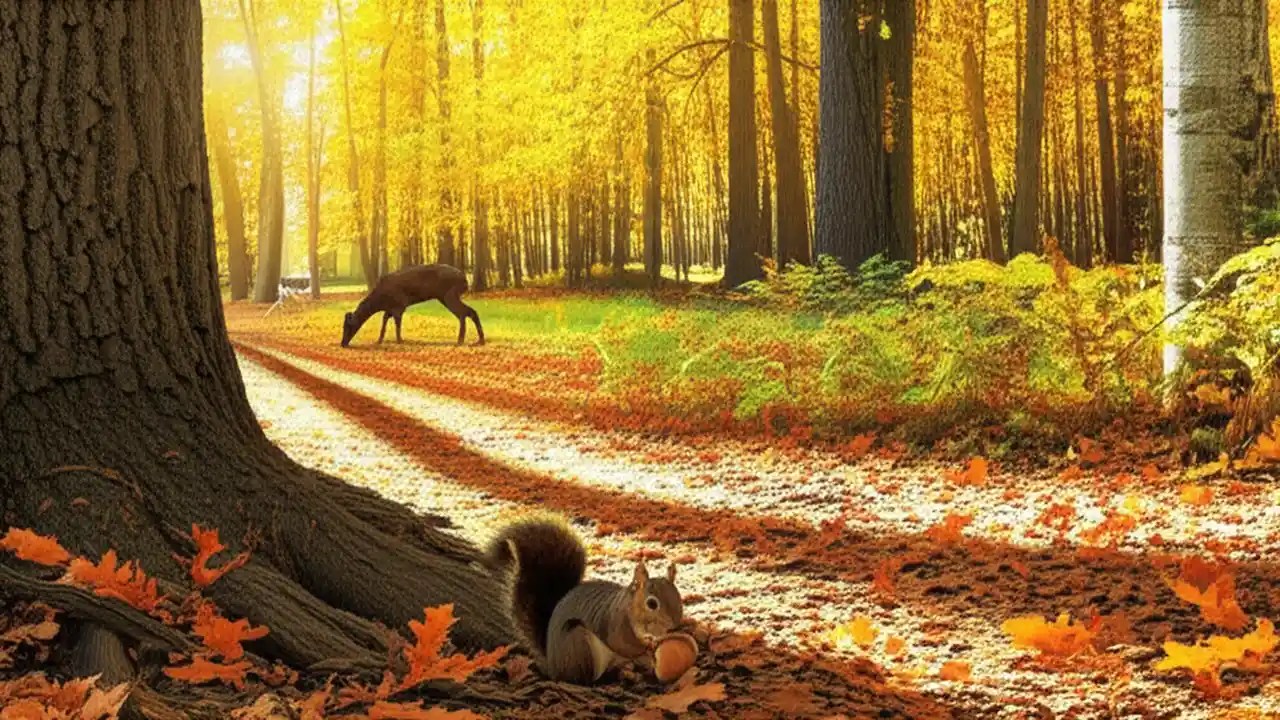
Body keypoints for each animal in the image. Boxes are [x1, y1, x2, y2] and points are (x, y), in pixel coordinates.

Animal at [340, 264, 484, 348]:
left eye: (348, 326)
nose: (342, 343)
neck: (379, 301)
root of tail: (464, 280)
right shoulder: (390, 308)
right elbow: (384, 321)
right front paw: (379, 340)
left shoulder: (399, 305)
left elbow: (397, 323)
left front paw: (399, 340)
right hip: (445, 297)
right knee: (470, 312)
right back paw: (478, 340)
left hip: (450, 294)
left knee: (464, 313)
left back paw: (461, 340)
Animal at [485, 516, 684, 685]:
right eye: (652, 604)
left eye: (678, 596)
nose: (674, 627)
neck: (629, 607)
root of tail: (554, 667)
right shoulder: (616, 626)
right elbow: (625, 645)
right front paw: (649, 644)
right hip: (579, 644)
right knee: (585, 679)